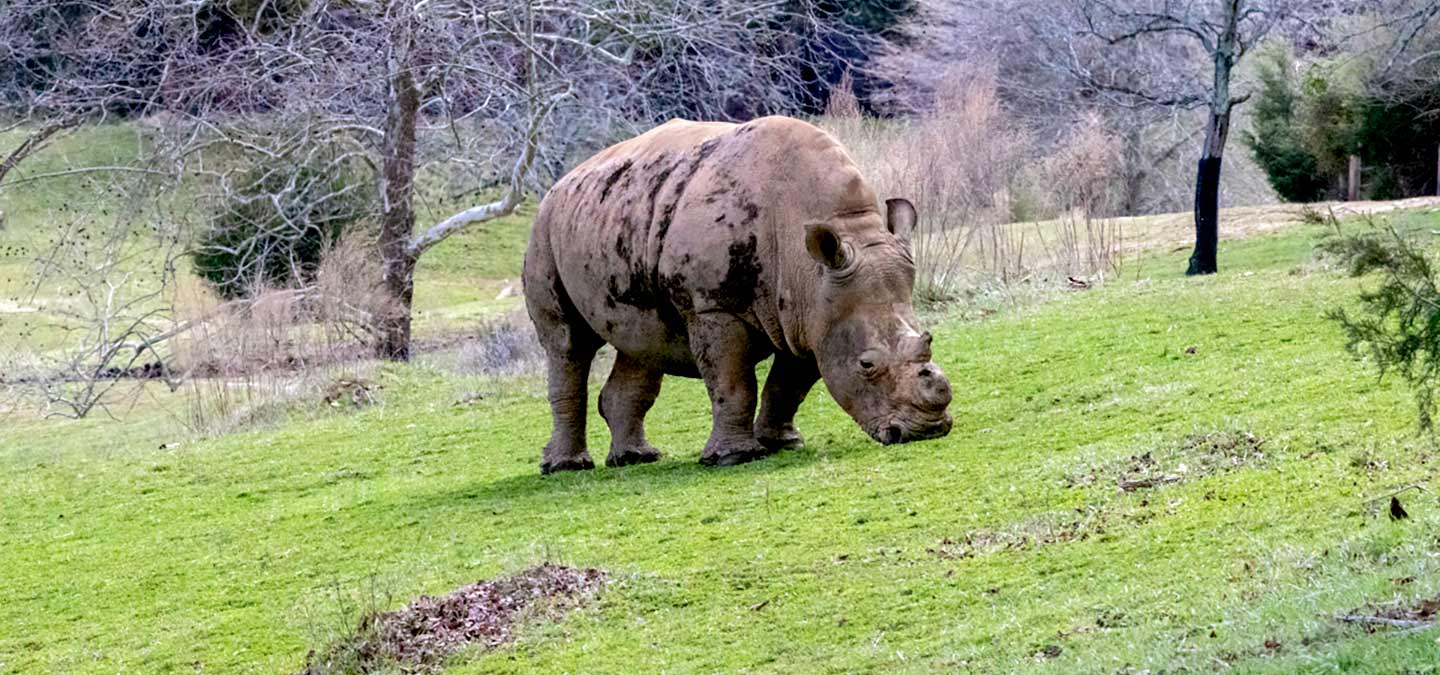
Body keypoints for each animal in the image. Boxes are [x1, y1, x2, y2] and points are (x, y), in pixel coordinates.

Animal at [523, 116, 953, 473]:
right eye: (866, 365)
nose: (925, 430)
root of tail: (560, 182)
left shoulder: (811, 313)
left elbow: (789, 385)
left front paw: (781, 444)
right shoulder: (713, 305)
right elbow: (733, 382)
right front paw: (734, 457)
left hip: (617, 219)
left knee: (641, 341)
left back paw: (634, 459)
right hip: (543, 230)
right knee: (568, 343)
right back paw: (566, 467)